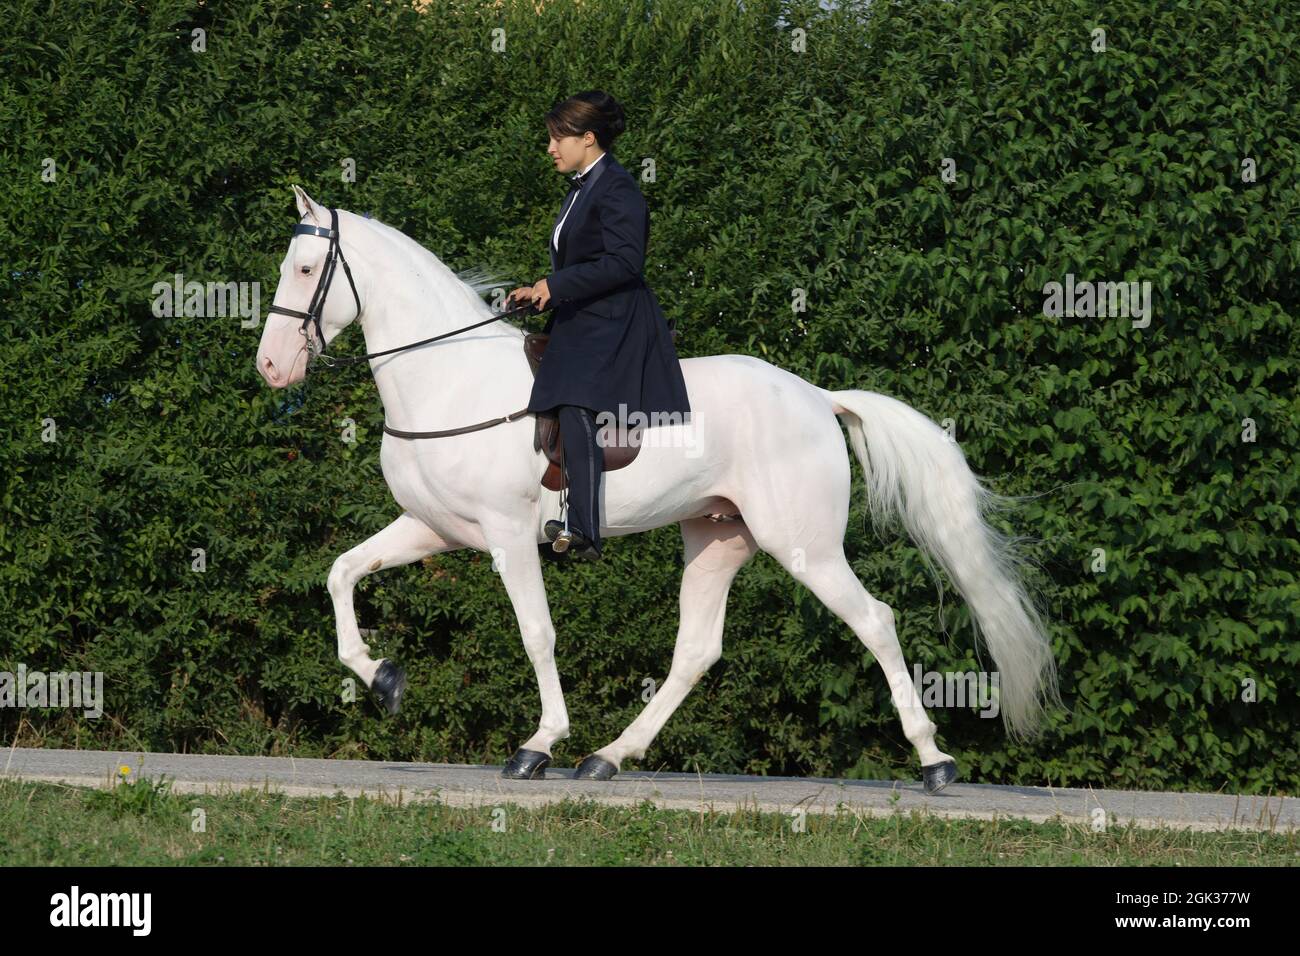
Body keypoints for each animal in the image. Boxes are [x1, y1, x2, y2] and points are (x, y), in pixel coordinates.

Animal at [255, 185, 1060, 791]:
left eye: (305, 269)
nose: (270, 368)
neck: (449, 377)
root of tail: (816, 396)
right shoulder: (432, 528)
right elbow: (341, 573)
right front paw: (383, 679)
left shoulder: (509, 536)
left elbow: (536, 633)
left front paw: (538, 744)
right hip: (717, 537)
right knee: (697, 650)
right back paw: (610, 756)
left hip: (803, 546)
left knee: (876, 621)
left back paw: (934, 760)